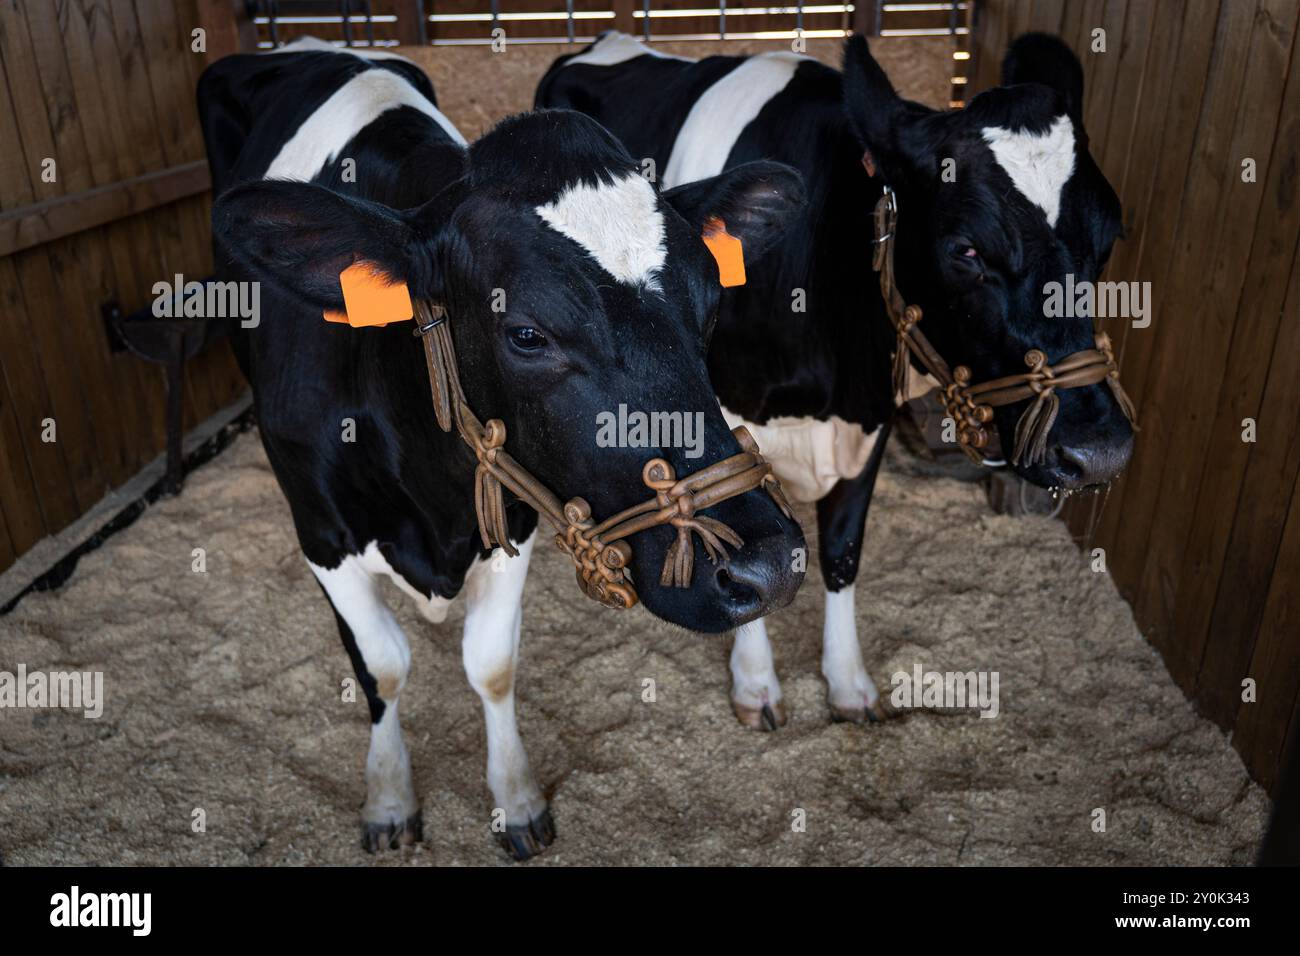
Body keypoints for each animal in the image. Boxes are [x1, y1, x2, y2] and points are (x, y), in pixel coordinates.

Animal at [196, 36, 806, 859]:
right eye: (526, 333)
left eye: (709, 306)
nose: (768, 564)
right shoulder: (319, 529)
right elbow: (381, 668)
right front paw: (389, 799)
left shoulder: (512, 508)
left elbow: (491, 665)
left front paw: (515, 801)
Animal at [537, 31, 1134, 729]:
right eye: (967, 250)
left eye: (1111, 234)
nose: (1099, 449)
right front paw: (756, 684)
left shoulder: (867, 418)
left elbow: (842, 550)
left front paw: (847, 683)